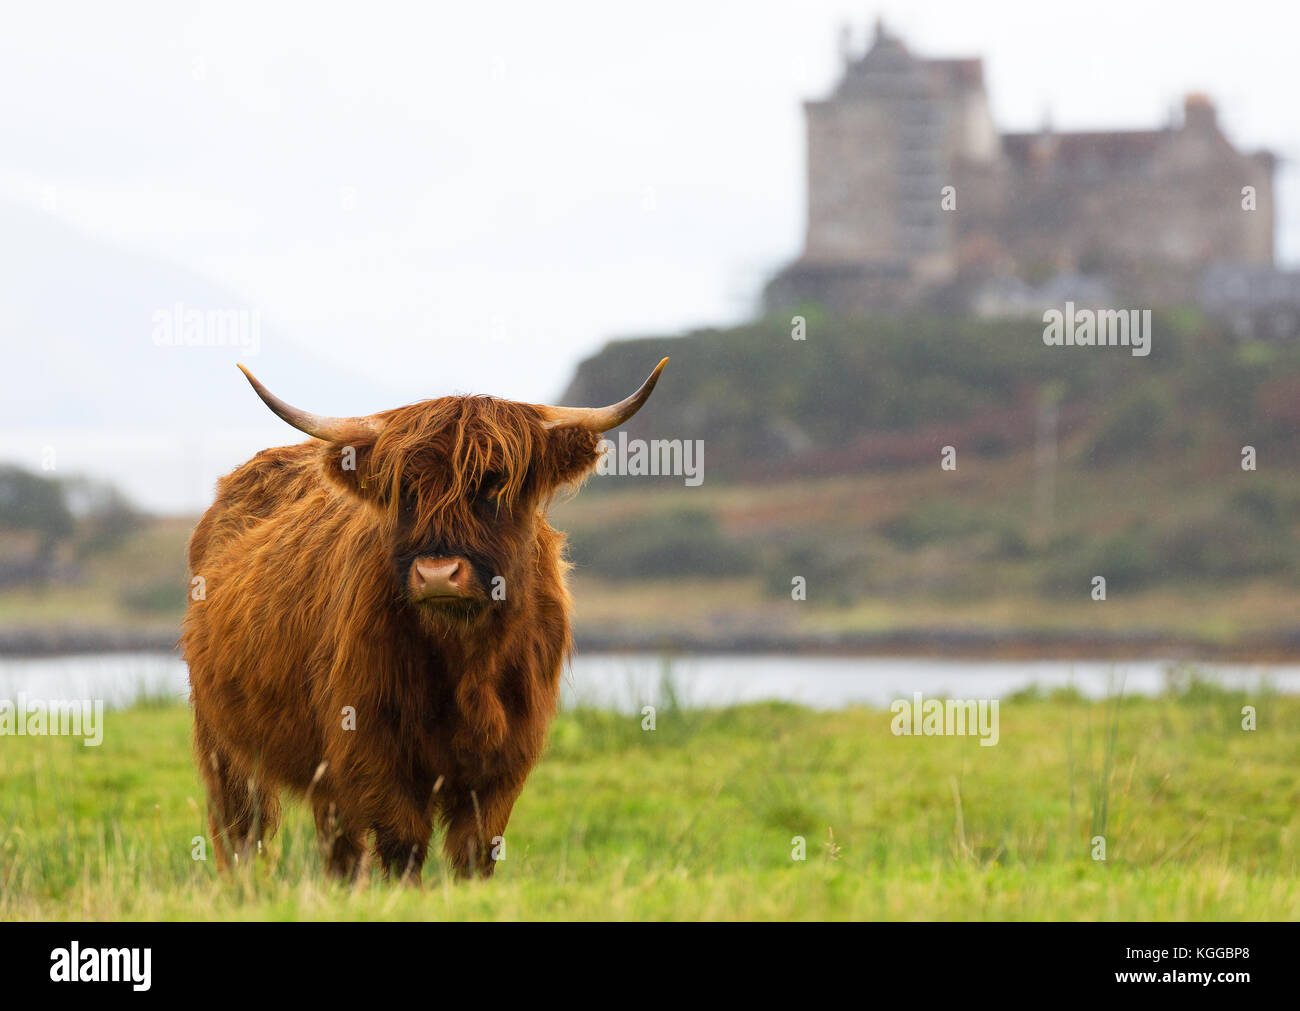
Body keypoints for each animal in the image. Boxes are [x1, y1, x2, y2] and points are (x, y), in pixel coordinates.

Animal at [182, 358, 668, 881]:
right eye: (405, 489)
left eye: (494, 483)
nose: (437, 573)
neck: (465, 657)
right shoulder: (370, 745)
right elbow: (403, 843)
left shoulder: (508, 755)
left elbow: (477, 848)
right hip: (223, 740)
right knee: (242, 829)